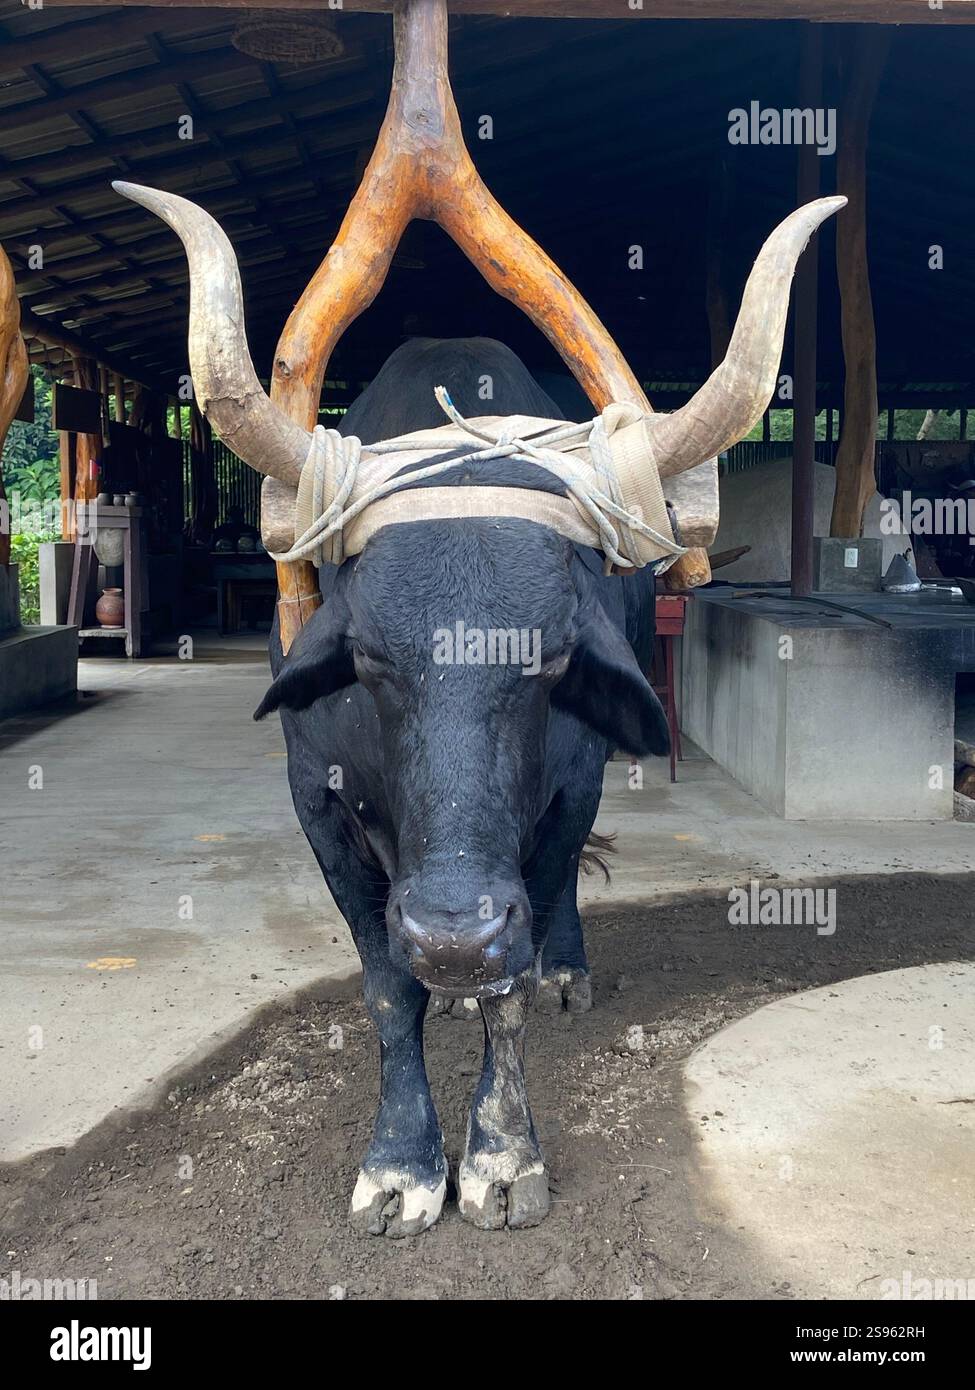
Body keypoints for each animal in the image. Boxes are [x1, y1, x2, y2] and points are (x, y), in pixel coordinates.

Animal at [113, 180, 843, 1238]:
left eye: (553, 655)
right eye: (369, 656)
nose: (452, 935)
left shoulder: (564, 795)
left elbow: (514, 980)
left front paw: (500, 1158)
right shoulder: (317, 803)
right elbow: (386, 988)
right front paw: (399, 1166)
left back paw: (559, 972)